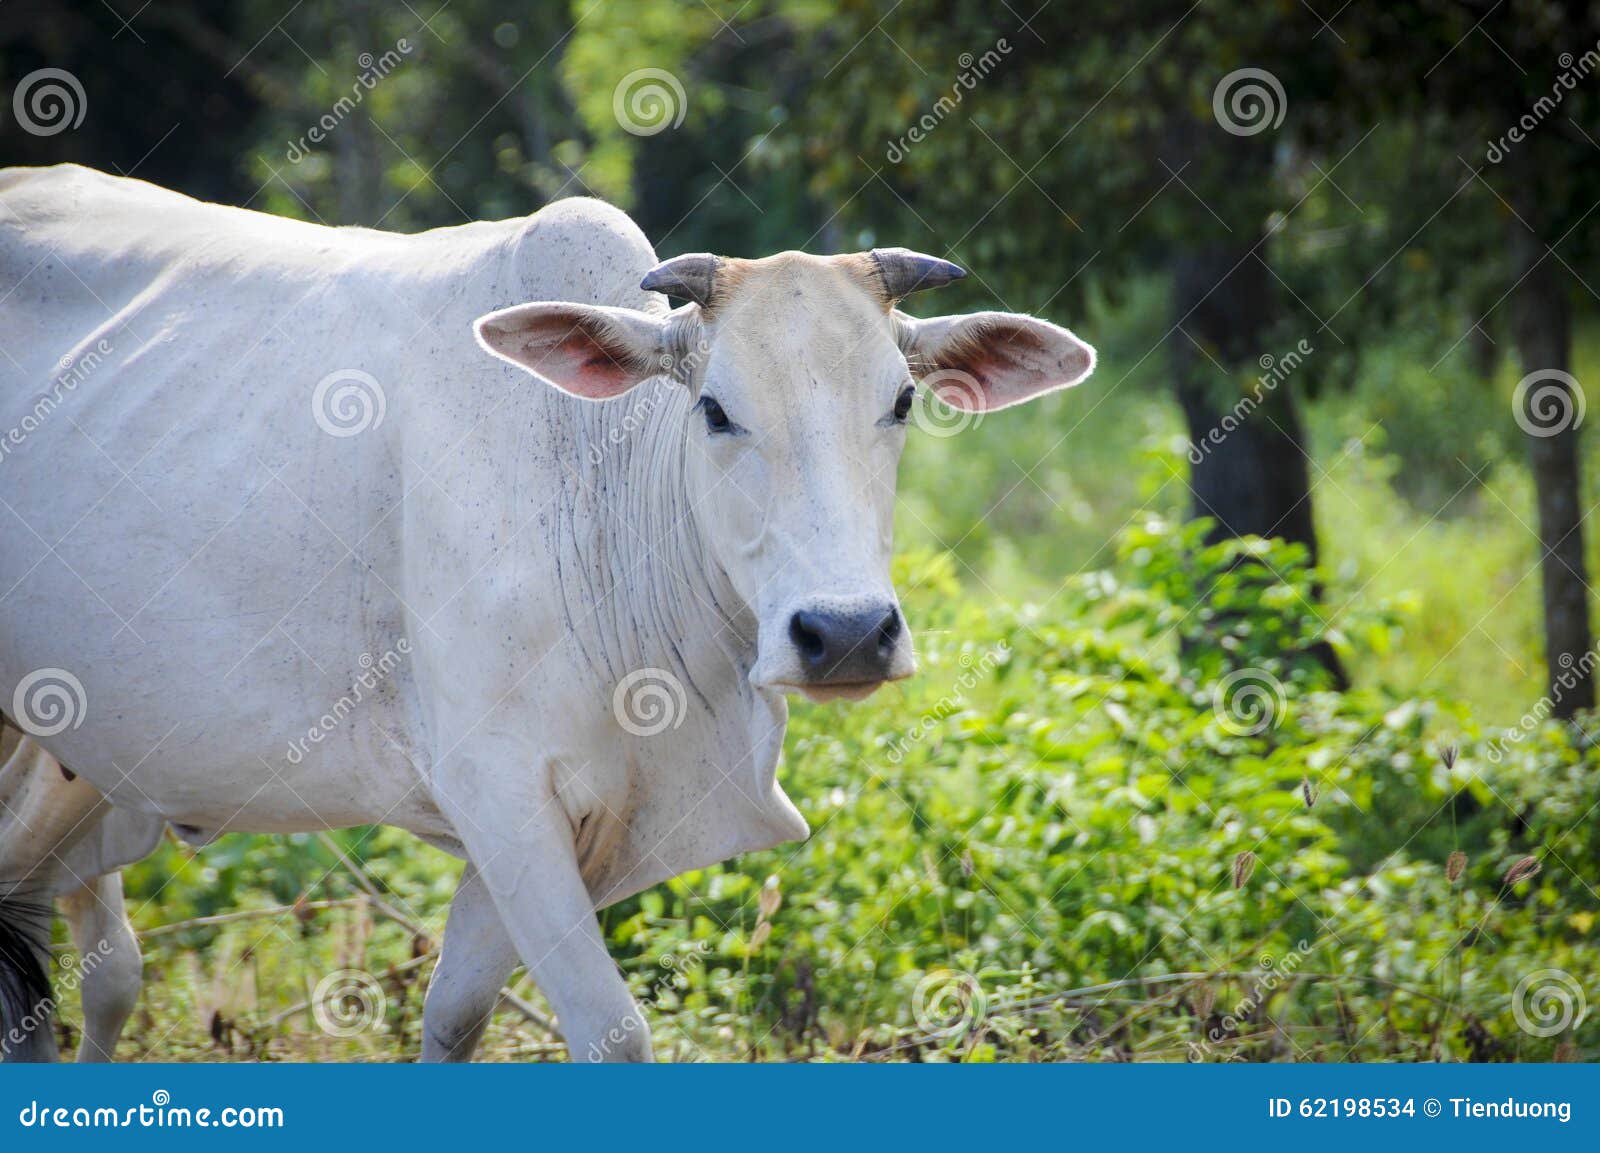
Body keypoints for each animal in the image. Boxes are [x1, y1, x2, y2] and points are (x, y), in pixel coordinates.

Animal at [0, 164, 1094, 1062]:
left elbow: (454, 1015)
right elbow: (612, 1032)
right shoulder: (500, 791)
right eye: (715, 409)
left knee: (75, 954)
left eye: (903, 402)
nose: (848, 635)